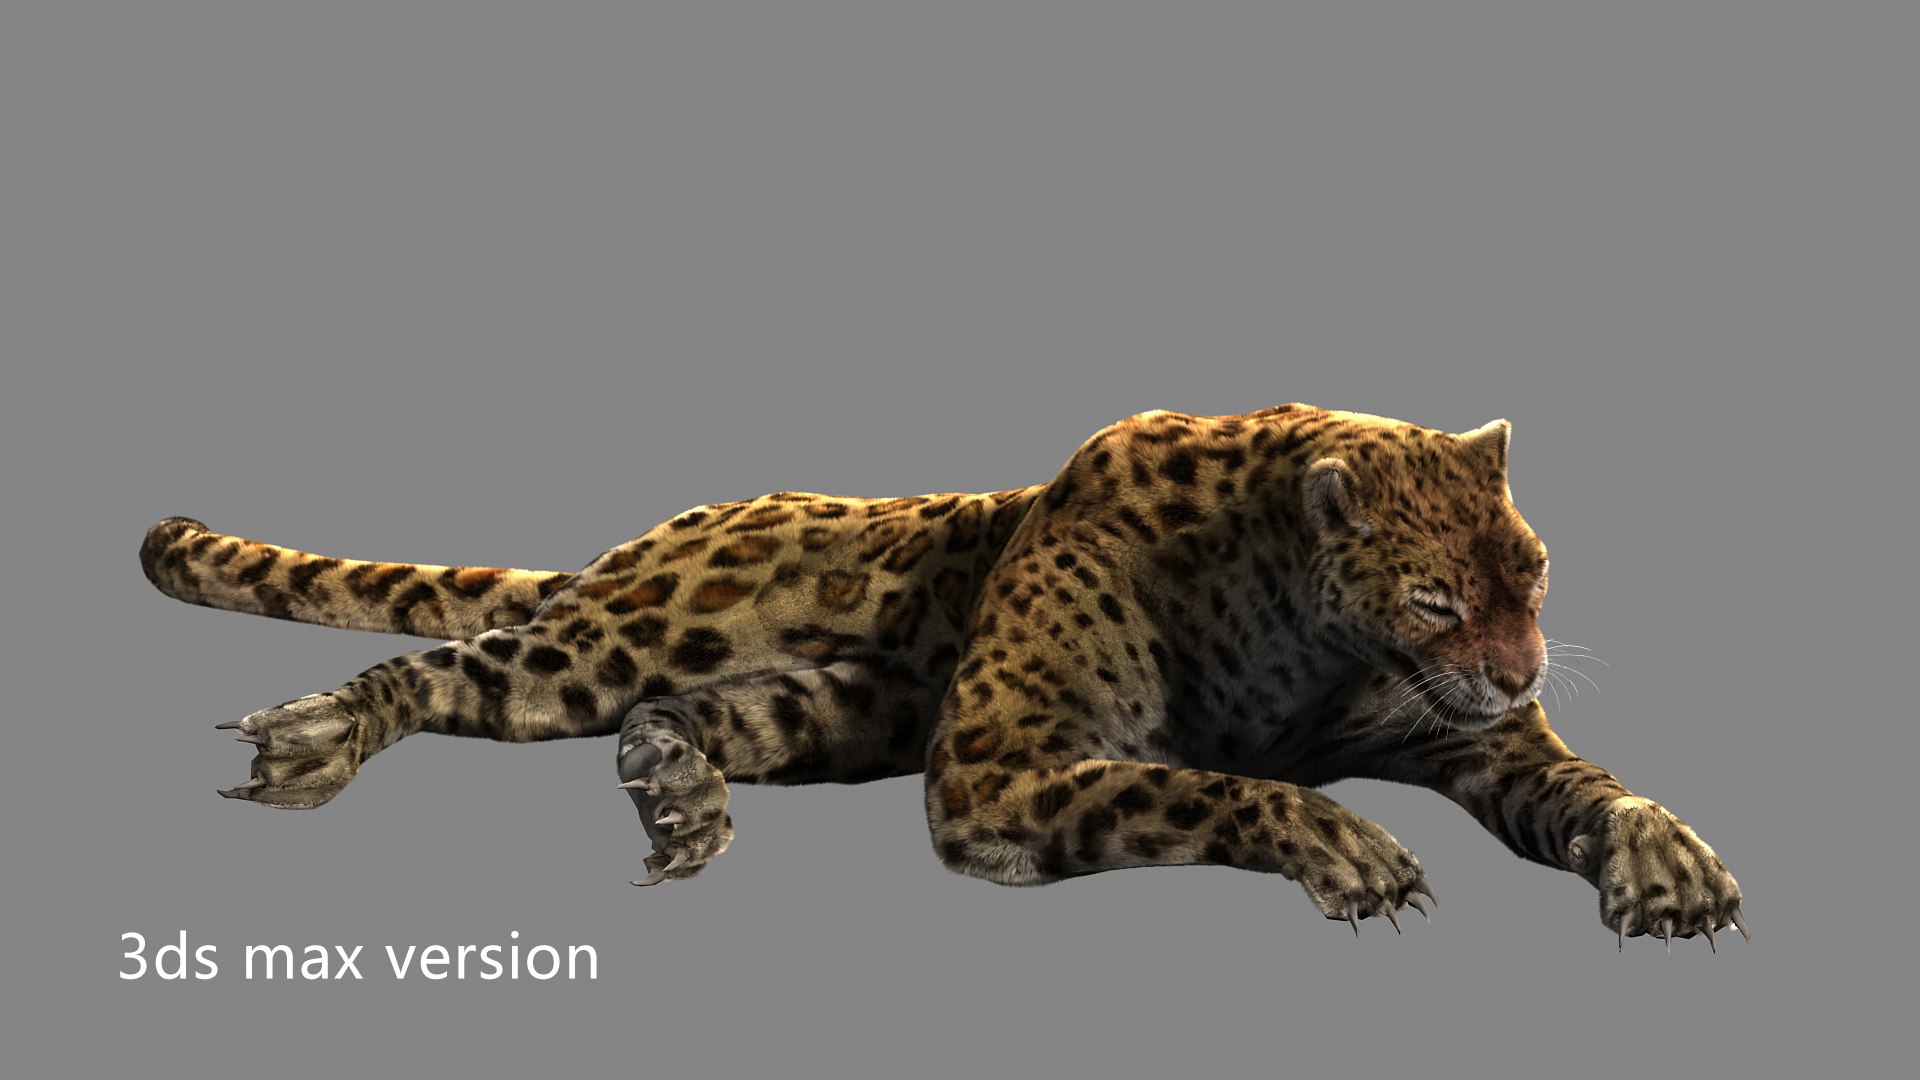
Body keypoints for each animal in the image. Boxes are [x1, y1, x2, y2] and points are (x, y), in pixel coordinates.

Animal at [139, 404, 1745, 949]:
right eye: (1436, 596)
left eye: (1533, 573)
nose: (1519, 669)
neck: (1299, 621)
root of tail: (657, 531)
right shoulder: (999, 763)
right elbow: (1201, 787)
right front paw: (1347, 848)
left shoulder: (1474, 743)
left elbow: (1583, 783)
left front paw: (1668, 858)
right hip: (614, 646)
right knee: (453, 665)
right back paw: (312, 741)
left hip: (842, 707)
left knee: (684, 718)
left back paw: (679, 797)